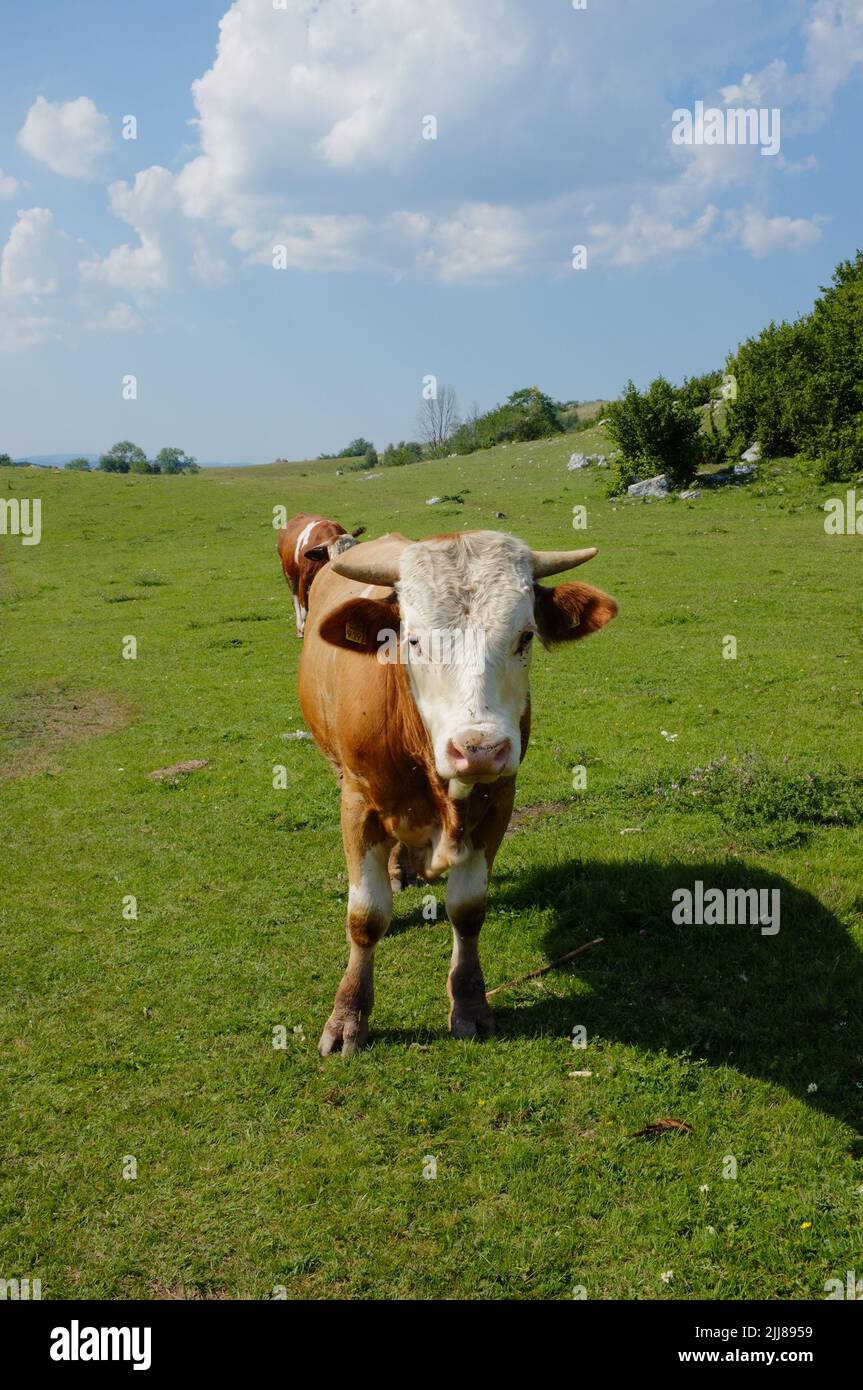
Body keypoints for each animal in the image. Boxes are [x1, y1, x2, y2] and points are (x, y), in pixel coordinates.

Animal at [298, 529, 618, 1055]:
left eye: (525, 635)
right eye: (412, 639)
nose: (480, 749)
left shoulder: (498, 803)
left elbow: (467, 910)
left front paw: (469, 1005)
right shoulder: (359, 805)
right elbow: (366, 915)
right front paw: (348, 1017)